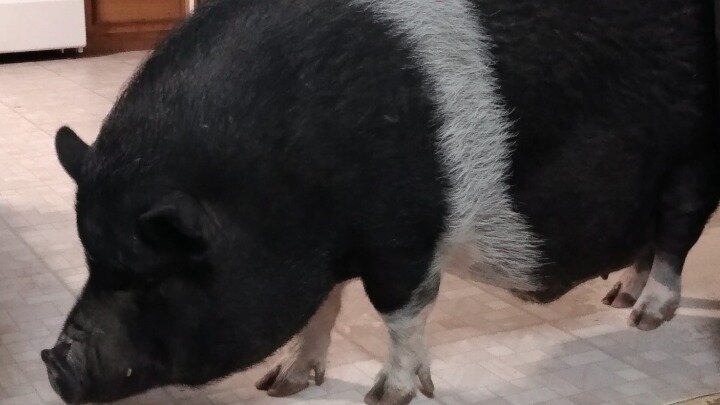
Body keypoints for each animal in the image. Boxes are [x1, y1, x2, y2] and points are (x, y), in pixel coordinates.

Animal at [42, 0, 720, 404]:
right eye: (94, 263)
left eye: (152, 277)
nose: (53, 361)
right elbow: (324, 306)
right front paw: (281, 385)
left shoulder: (405, 234)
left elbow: (400, 311)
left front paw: (386, 396)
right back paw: (619, 299)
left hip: (692, 158)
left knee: (677, 231)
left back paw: (645, 318)